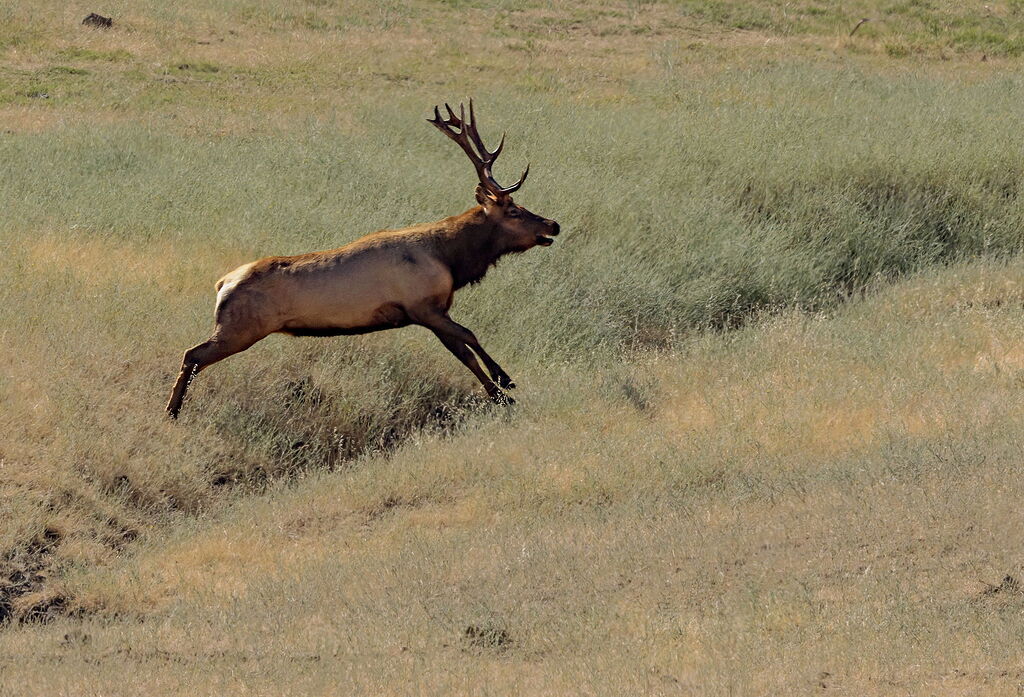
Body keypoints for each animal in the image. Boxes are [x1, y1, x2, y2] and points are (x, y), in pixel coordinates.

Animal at [166, 101, 560, 419]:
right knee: (192, 354)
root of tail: (222, 283)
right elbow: (470, 336)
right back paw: (172, 410)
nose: (553, 224)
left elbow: (462, 352)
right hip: (240, 328)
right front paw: (505, 382)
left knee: (193, 355)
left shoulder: (430, 313)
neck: (451, 259)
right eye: (513, 210)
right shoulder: (422, 306)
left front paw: (500, 394)